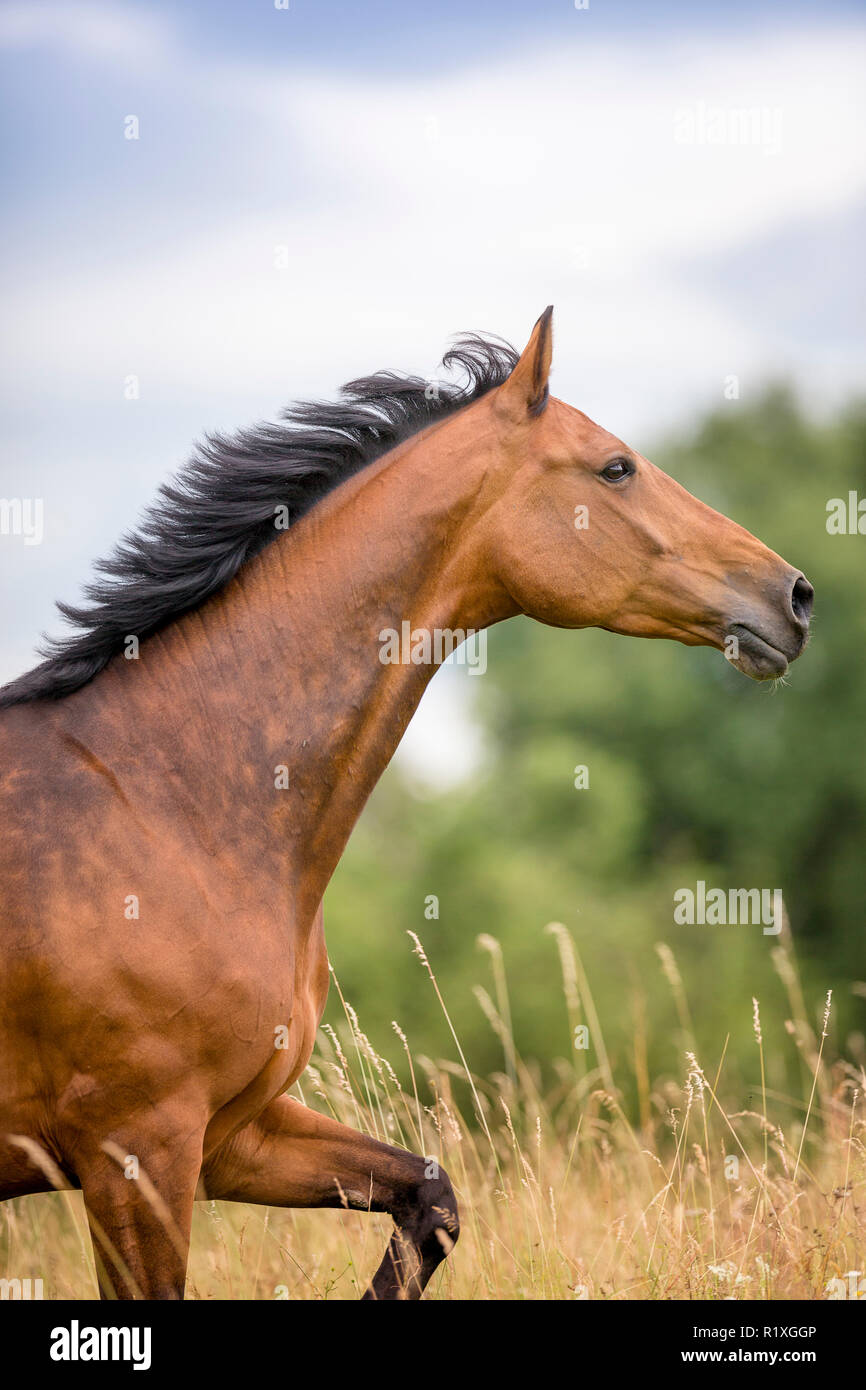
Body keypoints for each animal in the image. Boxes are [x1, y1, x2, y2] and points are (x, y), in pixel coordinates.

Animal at [0, 308, 813, 1299]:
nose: (795, 596)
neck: (166, 797)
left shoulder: (229, 1135)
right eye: (616, 466)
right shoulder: (136, 1150)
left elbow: (432, 1198)